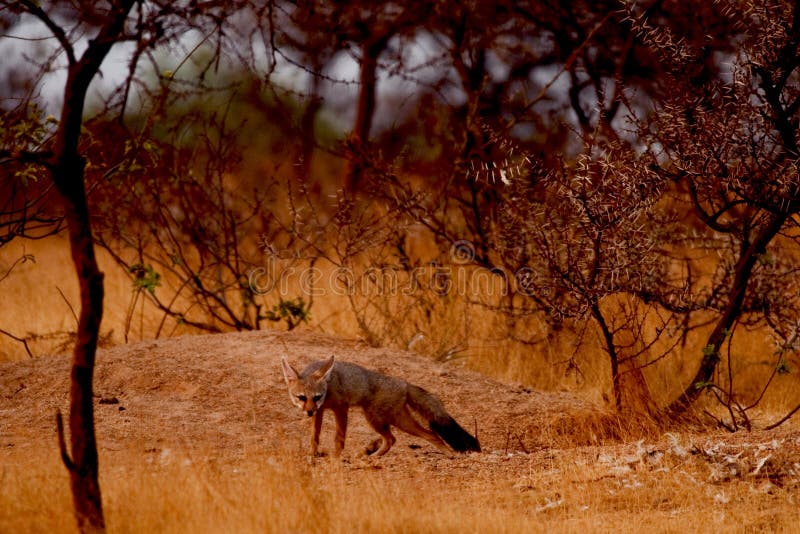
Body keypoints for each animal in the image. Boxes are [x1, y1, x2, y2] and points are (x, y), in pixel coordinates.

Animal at [280, 355, 481, 457]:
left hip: (380, 420)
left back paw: (449, 454)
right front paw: (312, 454)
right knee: (395, 439)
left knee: (427, 435)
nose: (308, 411)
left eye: (317, 396)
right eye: (301, 397)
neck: (329, 388)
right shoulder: (320, 411)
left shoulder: (341, 408)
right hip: (389, 420)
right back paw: (373, 457)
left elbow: (339, 438)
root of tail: (405, 383)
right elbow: (314, 437)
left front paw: (336, 458)